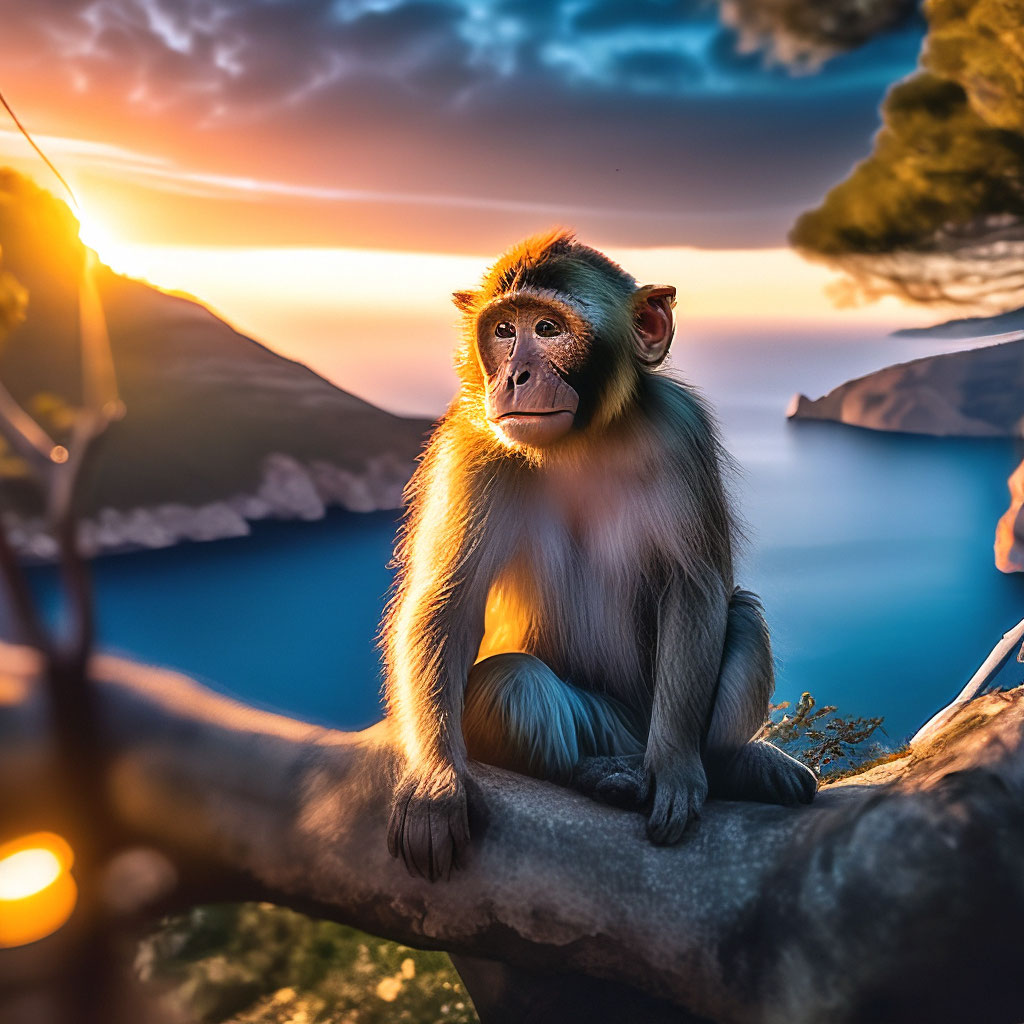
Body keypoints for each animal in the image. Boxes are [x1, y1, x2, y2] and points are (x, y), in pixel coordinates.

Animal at [383, 229, 816, 881]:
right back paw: (600, 775)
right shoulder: (472, 446)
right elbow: (447, 603)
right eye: (503, 330)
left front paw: (677, 772)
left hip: (648, 715)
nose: (515, 376)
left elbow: (695, 586)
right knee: (515, 687)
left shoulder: (680, 431)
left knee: (739, 616)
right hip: (609, 725)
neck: (581, 440)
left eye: (547, 328)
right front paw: (435, 785)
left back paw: (726, 766)